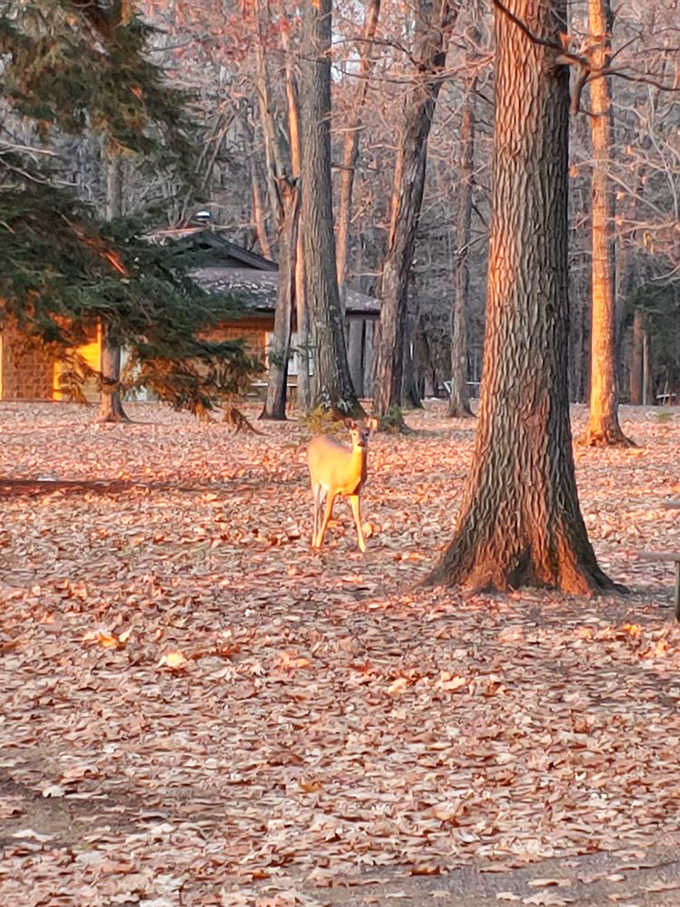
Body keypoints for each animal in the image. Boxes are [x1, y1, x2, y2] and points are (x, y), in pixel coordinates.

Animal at [307, 417, 378, 552]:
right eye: (353, 433)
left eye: (367, 433)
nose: (360, 443)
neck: (349, 472)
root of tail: (314, 440)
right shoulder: (333, 487)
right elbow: (328, 515)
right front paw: (319, 543)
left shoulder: (356, 491)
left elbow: (358, 516)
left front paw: (363, 546)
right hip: (315, 478)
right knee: (316, 506)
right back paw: (314, 540)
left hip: (323, 485)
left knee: (319, 505)